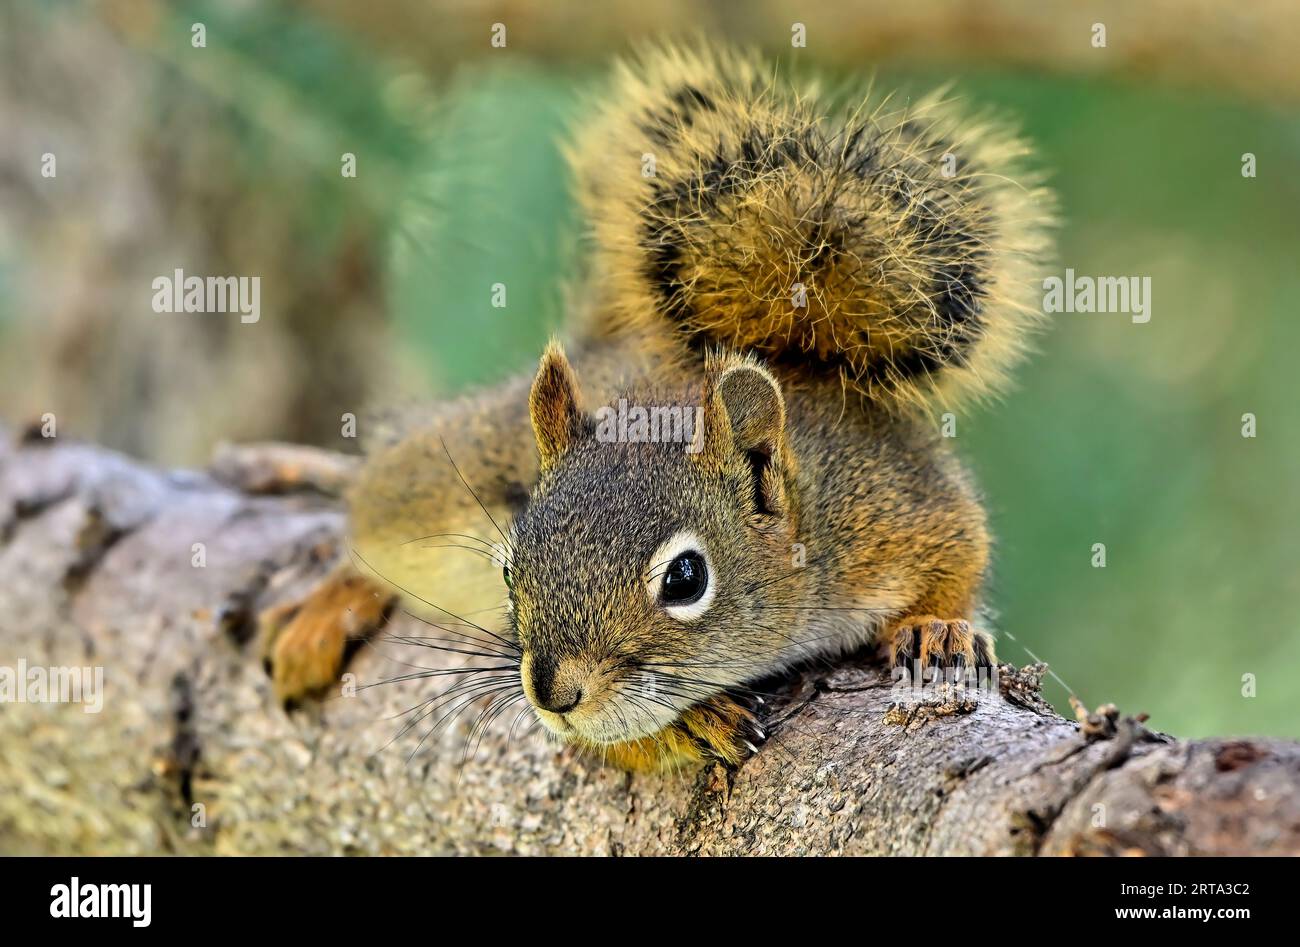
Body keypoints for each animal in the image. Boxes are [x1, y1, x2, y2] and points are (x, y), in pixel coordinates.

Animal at [257, 44, 1054, 772]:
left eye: (685, 579)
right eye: (511, 570)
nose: (554, 692)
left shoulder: (896, 503)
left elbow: (961, 550)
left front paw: (938, 626)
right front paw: (696, 722)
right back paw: (329, 608)